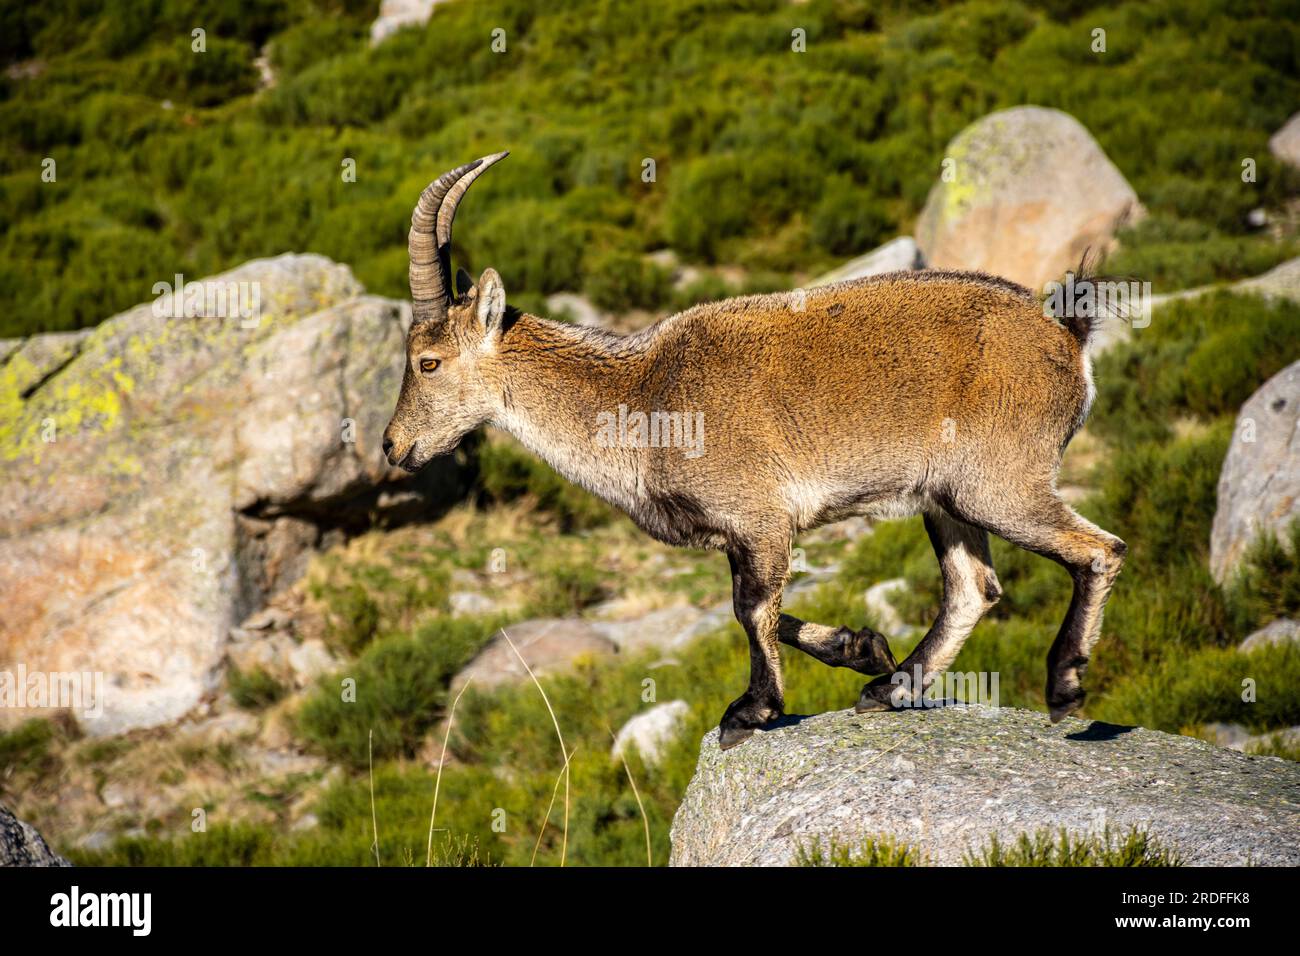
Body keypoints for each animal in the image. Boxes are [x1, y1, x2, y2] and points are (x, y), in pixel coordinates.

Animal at [383, 153, 1127, 749]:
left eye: (426, 362)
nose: (394, 446)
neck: (642, 398)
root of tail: (1066, 337)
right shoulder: (741, 534)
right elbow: (758, 608)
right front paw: (862, 648)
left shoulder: (759, 516)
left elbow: (751, 608)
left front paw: (753, 710)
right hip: (944, 496)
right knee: (973, 587)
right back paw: (891, 687)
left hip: (998, 485)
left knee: (1099, 550)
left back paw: (1064, 687)